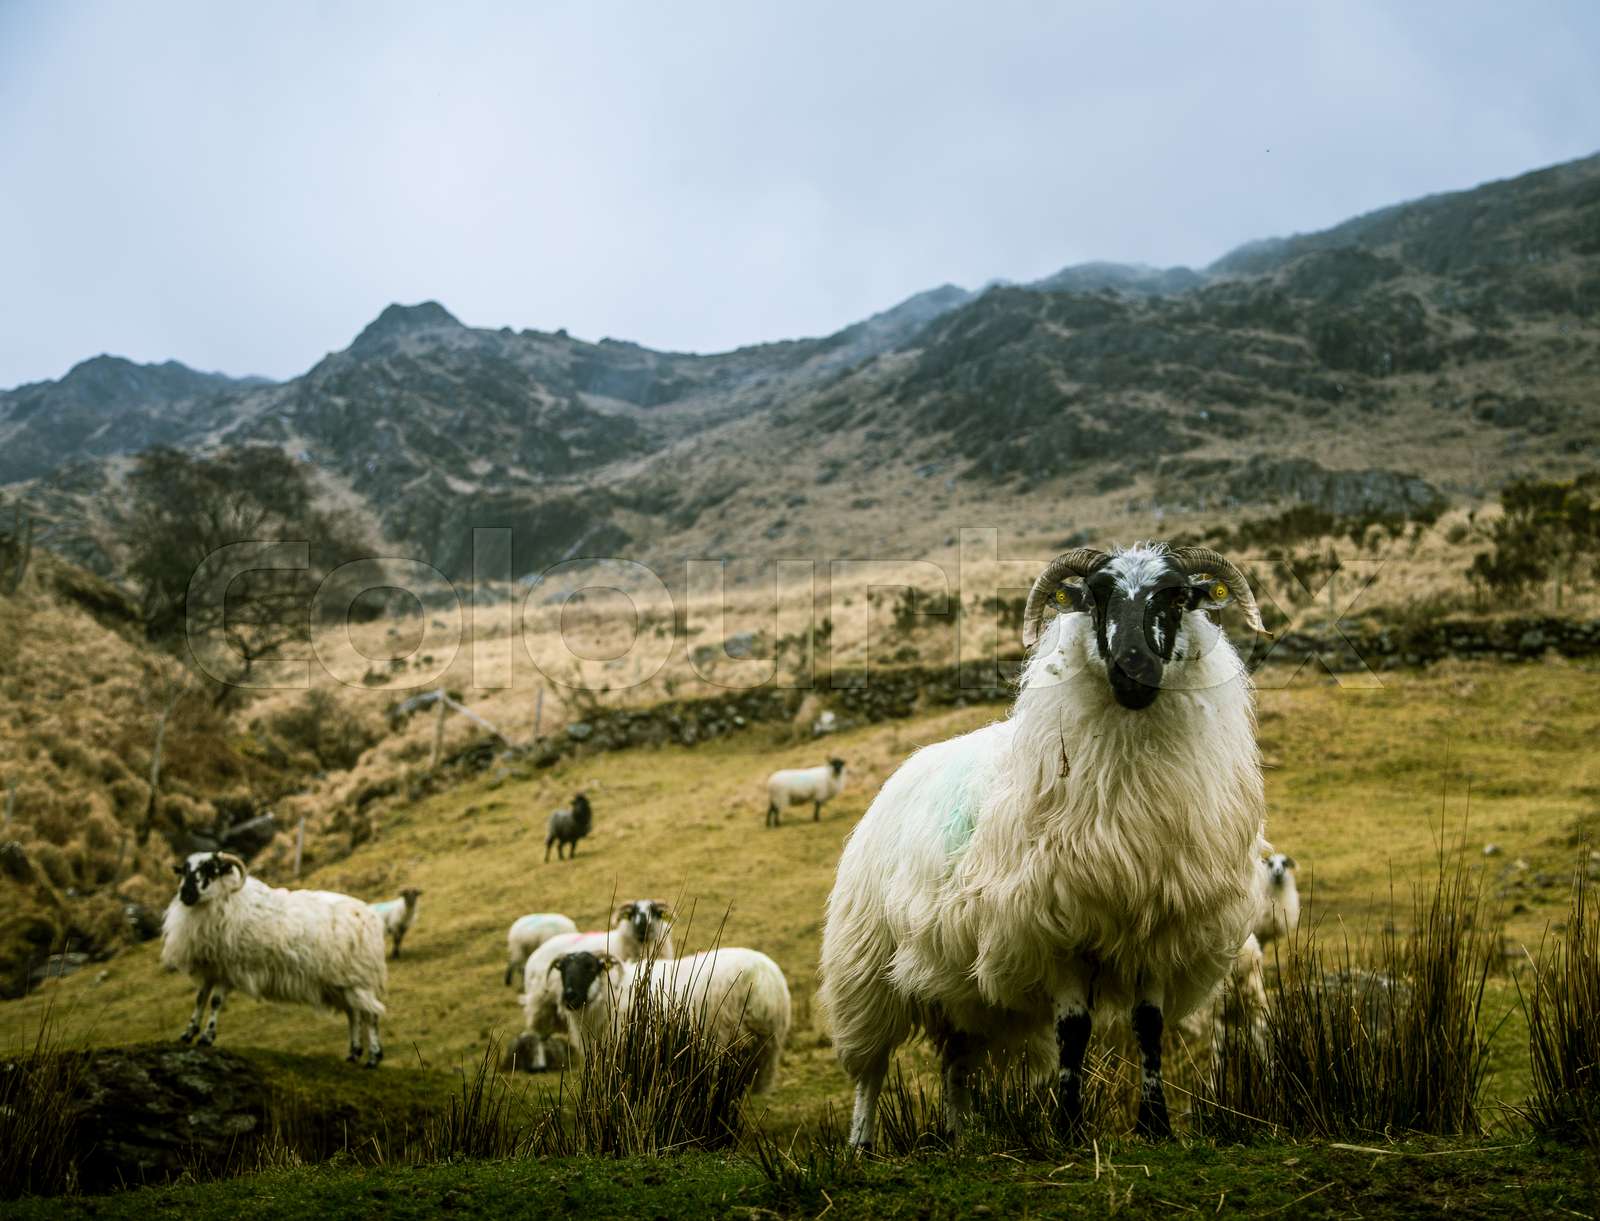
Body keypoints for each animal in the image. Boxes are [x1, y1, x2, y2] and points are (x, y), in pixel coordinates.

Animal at [160, 851, 388, 1066]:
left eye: (211, 869)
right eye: (184, 871)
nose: (186, 894)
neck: (227, 900)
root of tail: (370, 916)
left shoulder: (228, 967)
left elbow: (216, 1002)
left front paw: (207, 1038)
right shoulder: (211, 967)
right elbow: (200, 999)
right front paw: (188, 1033)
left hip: (361, 978)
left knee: (371, 1016)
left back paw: (373, 1058)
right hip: (344, 983)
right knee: (354, 1015)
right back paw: (353, 1054)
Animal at [518, 899, 674, 1069]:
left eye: (654, 911)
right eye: (633, 912)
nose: (643, 922)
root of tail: (538, 950)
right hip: (540, 1005)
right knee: (537, 1035)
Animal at [549, 947, 791, 1093]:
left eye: (590, 967)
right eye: (563, 970)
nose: (569, 997)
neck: (610, 991)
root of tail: (763, 980)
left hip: (724, 1040)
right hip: (763, 1049)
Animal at [818, 543, 1270, 1146]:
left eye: (1177, 596)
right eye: (1096, 595)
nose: (1133, 670)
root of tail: (906, 769)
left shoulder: (1156, 924)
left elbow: (1148, 1027)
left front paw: (1155, 1127)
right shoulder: (1055, 930)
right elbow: (1074, 1032)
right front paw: (1069, 1127)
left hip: (961, 991)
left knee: (955, 1063)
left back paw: (959, 1139)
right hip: (865, 968)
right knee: (871, 1067)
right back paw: (863, 1144)